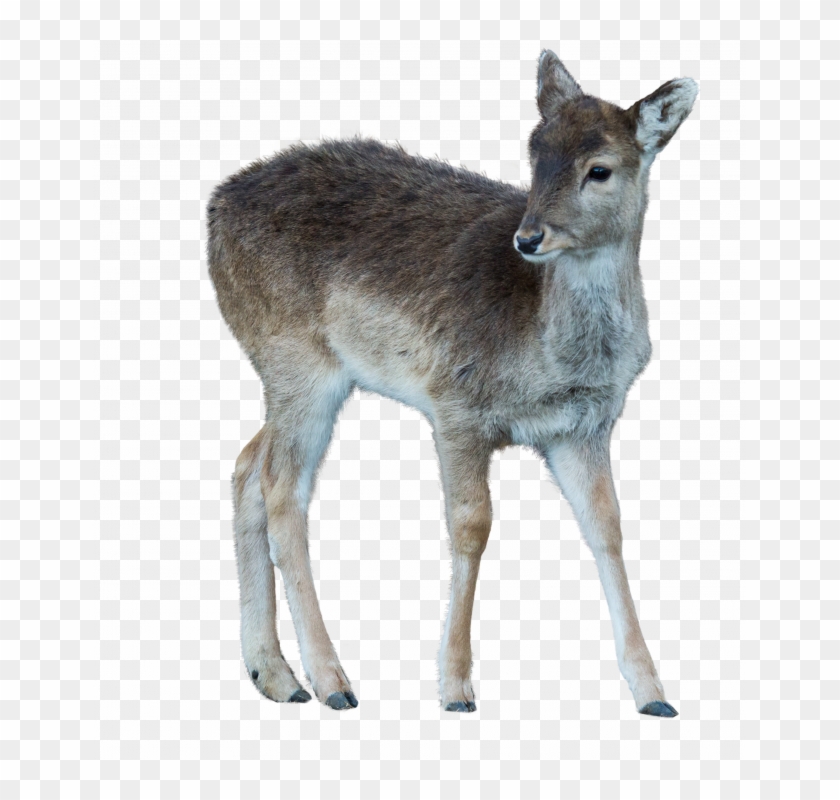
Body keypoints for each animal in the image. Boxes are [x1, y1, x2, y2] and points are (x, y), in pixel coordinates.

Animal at [207, 51, 697, 717]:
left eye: (600, 169)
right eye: (534, 154)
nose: (529, 237)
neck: (551, 359)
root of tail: (214, 207)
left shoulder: (583, 427)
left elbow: (608, 529)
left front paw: (653, 692)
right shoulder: (456, 404)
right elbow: (472, 526)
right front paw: (456, 686)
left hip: (287, 375)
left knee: (246, 464)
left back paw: (275, 674)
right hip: (297, 360)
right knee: (282, 488)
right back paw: (332, 681)